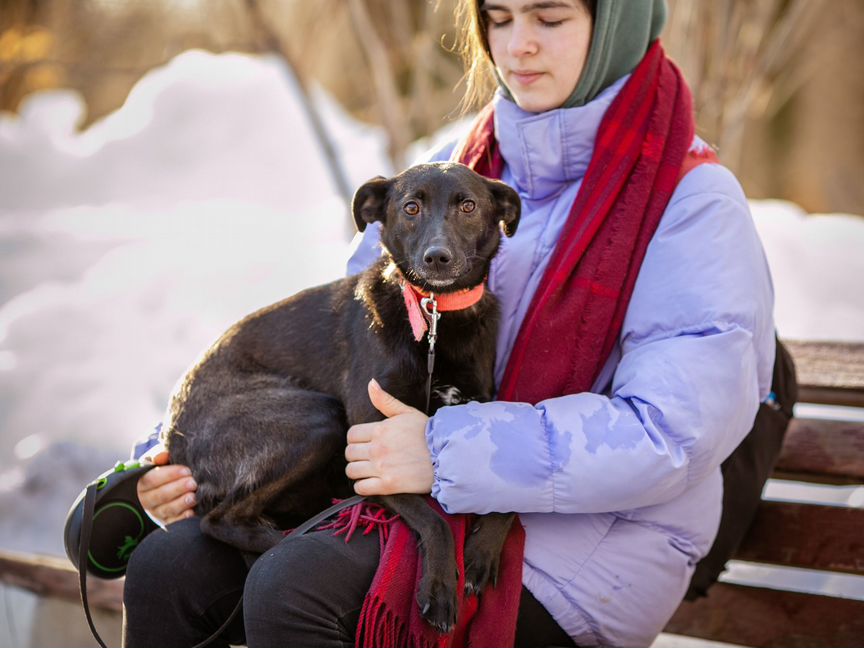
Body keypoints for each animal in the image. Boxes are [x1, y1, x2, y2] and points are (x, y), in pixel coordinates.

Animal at [165, 162, 524, 632]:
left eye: (468, 206)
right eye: (411, 207)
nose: (437, 257)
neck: (433, 317)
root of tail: (173, 434)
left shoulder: (475, 413)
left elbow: (507, 492)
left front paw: (480, 554)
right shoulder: (368, 454)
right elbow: (435, 520)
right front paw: (440, 588)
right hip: (317, 420)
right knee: (216, 519)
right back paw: (278, 538)